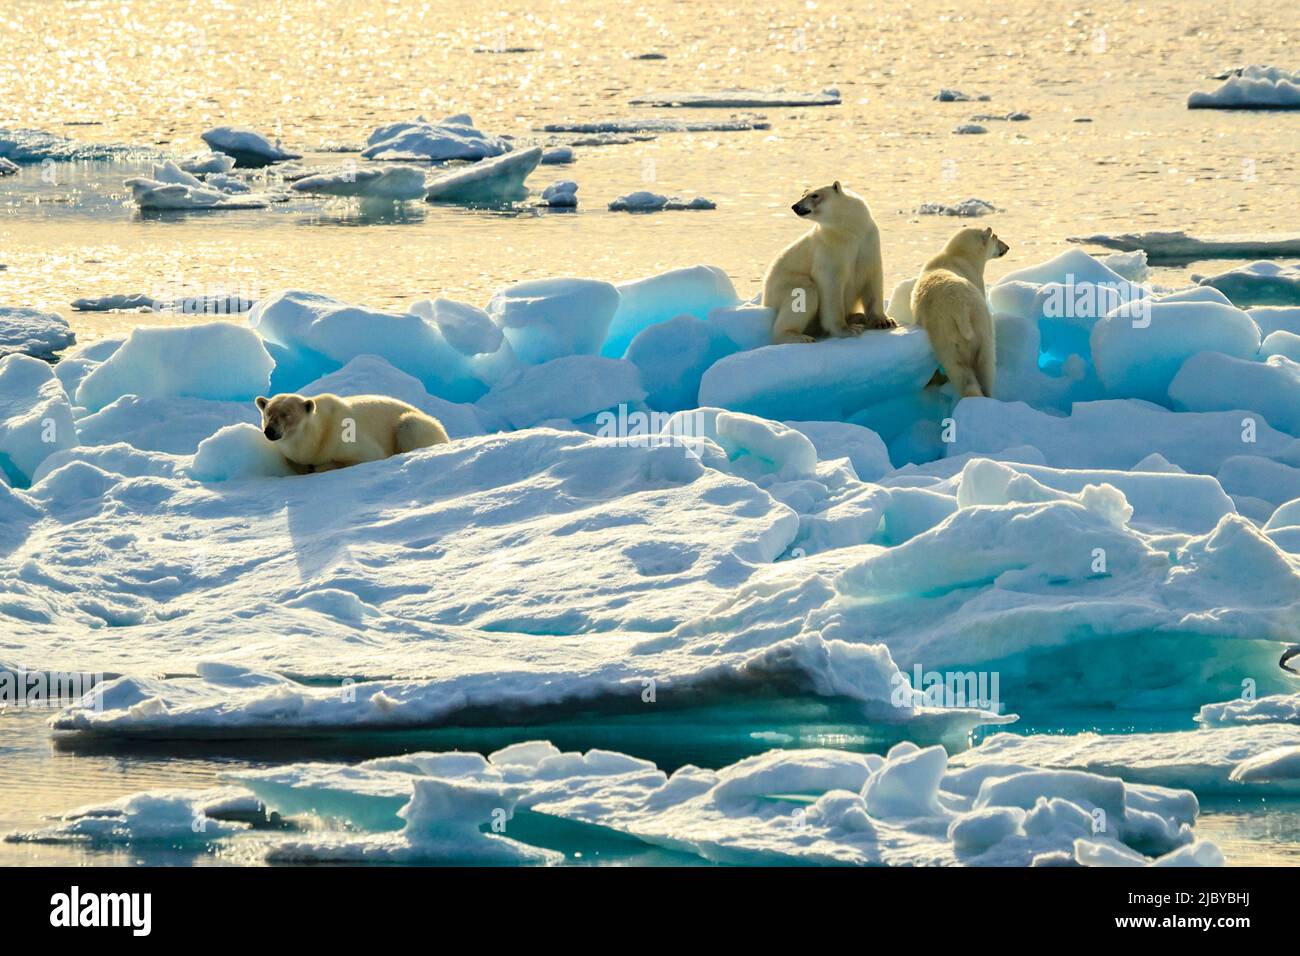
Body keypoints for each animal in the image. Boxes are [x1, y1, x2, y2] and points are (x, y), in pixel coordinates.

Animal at [255, 392, 449, 473]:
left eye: (286, 414)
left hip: (418, 424)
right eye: (268, 413)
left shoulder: (342, 437)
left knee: (409, 424)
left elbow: (367, 456)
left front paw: (321, 466)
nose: (270, 431)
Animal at [762, 181, 896, 344]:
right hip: (783, 286)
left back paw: (858, 317)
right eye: (803, 194)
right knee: (805, 293)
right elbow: (831, 285)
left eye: (814, 195)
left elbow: (872, 277)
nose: (795, 206)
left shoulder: (868, 241)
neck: (850, 229)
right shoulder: (830, 247)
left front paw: (884, 321)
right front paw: (847, 329)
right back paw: (800, 336)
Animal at [910, 225, 1009, 398]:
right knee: (980, 366)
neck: (958, 256)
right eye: (996, 237)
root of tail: (961, 310)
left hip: (954, 332)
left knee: (966, 367)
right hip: (966, 326)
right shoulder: (976, 279)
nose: (1007, 247)